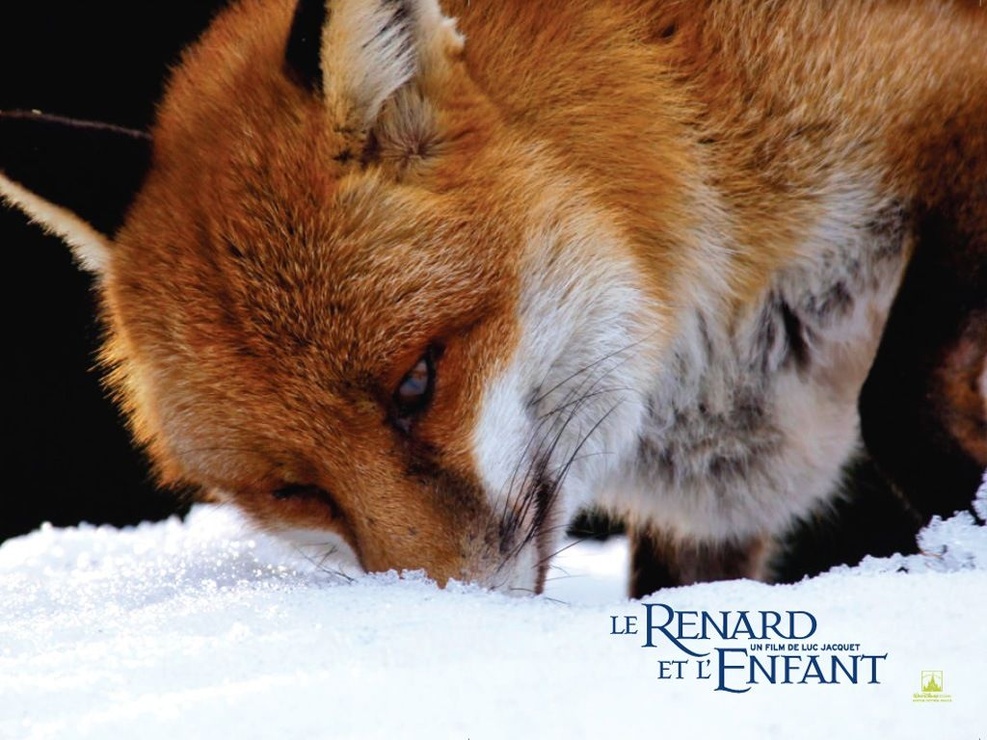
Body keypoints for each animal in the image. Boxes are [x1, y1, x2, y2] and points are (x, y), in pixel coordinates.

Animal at [1, 0, 984, 597]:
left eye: (416, 385)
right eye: (294, 489)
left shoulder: (945, 97)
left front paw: (963, 533)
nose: (452, 621)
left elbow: (897, 397)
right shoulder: (716, 504)